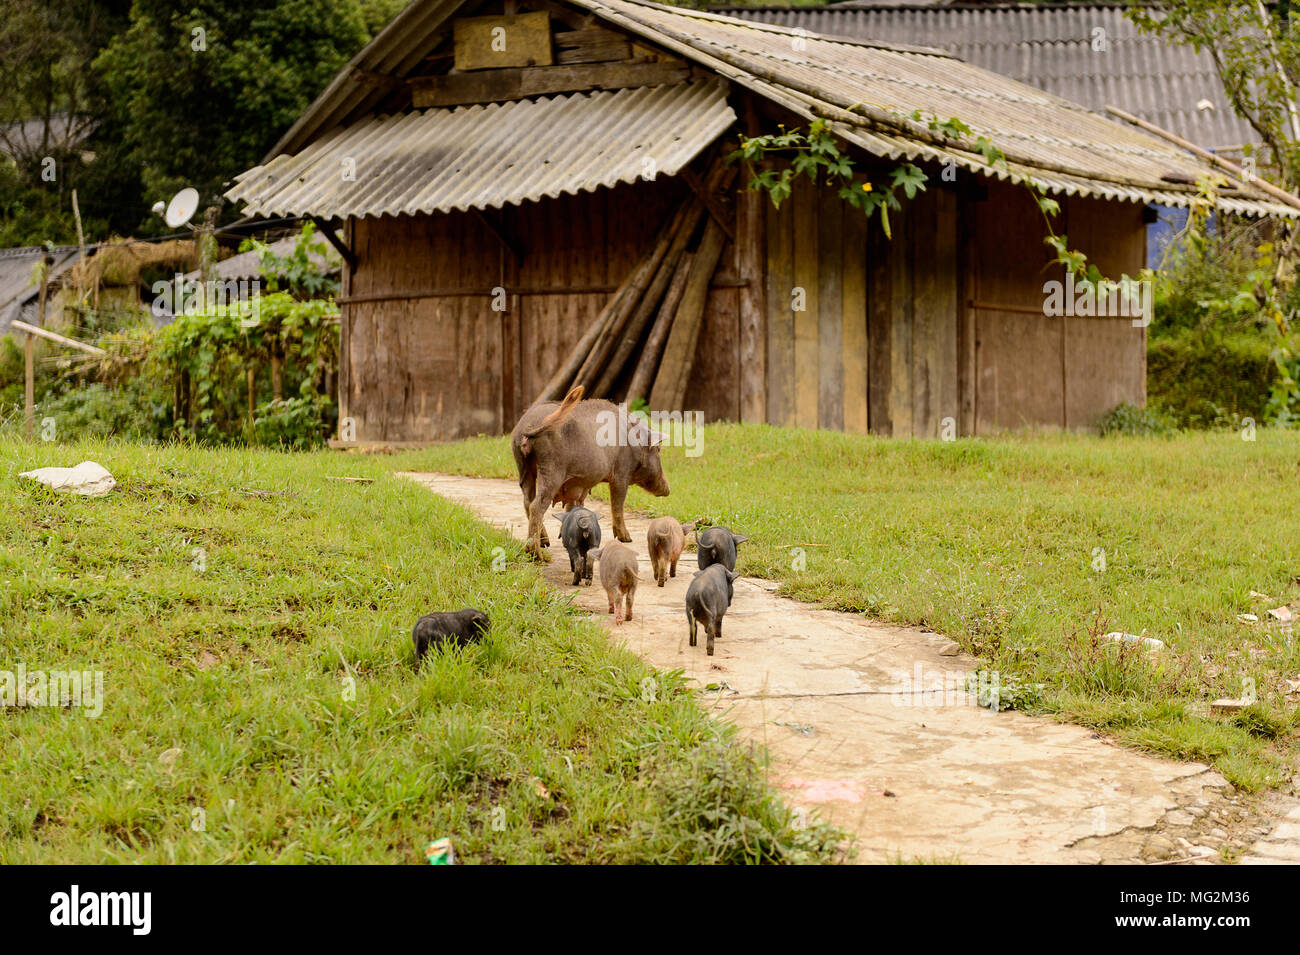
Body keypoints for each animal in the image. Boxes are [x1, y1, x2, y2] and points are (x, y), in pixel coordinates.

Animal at [512, 386, 670, 560]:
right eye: (658, 450)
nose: (668, 490)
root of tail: (530, 424)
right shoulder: (621, 473)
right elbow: (617, 504)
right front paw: (627, 539)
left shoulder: (577, 484)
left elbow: (574, 506)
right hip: (551, 470)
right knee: (536, 506)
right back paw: (537, 554)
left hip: (523, 467)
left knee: (527, 502)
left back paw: (545, 543)